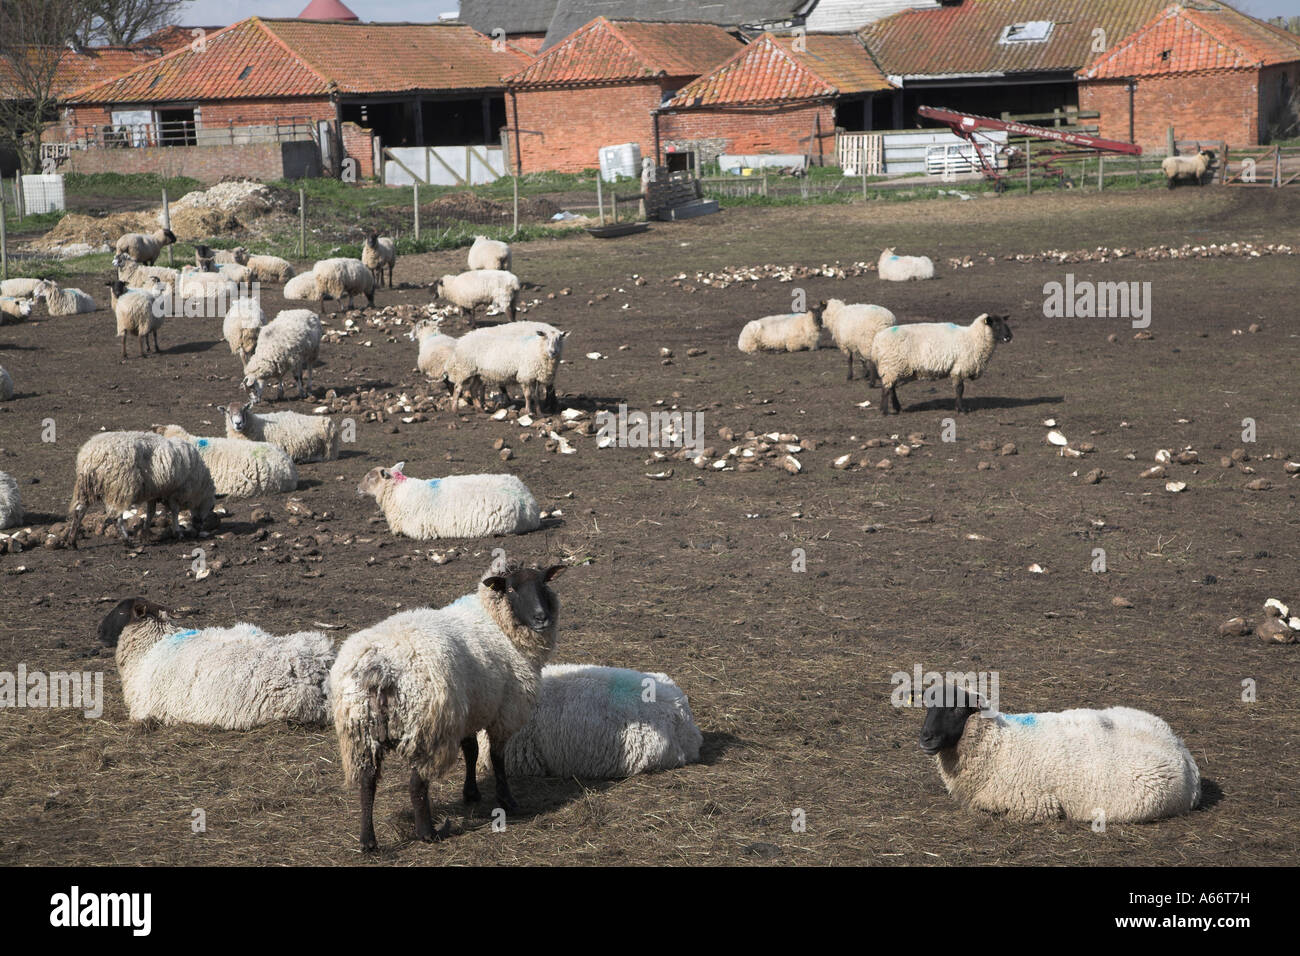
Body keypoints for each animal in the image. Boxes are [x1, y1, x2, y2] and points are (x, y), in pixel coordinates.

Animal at [62, 430, 216, 548]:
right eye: (211, 507)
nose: (199, 528)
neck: (200, 484)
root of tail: (91, 455)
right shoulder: (175, 492)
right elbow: (175, 512)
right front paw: (177, 532)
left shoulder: (154, 491)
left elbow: (151, 512)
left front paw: (145, 533)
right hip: (120, 486)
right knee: (116, 516)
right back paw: (126, 540)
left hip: (86, 487)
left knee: (79, 511)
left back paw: (72, 541)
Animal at [329, 556, 565, 850]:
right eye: (511, 589)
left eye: (544, 583)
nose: (541, 617)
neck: (496, 622)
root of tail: (379, 667)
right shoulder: (503, 711)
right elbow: (496, 757)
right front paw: (506, 799)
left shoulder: (470, 710)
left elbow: (472, 750)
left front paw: (471, 793)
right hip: (427, 730)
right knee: (416, 786)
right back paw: (427, 832)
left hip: (360, 732)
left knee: (367, 784)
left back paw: (368, 841)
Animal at [871, 312, 1012, 415]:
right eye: (996, 326)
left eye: (1006, 324)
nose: (1009, 337)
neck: (973, 338)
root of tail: (876, 342)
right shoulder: (959, 367)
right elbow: (960, 389)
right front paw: (961, 409)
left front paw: (959, 408)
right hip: (891, 365)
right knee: (886, 389)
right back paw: (884, 411)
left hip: (893, 368)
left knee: (891, 388)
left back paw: (897, 408)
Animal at [919, 684, 1201, 824]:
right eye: (928, 706)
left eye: (957, 708)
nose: (925, 737)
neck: (1000, 744)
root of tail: (1181, 749)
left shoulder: (1029, 805)